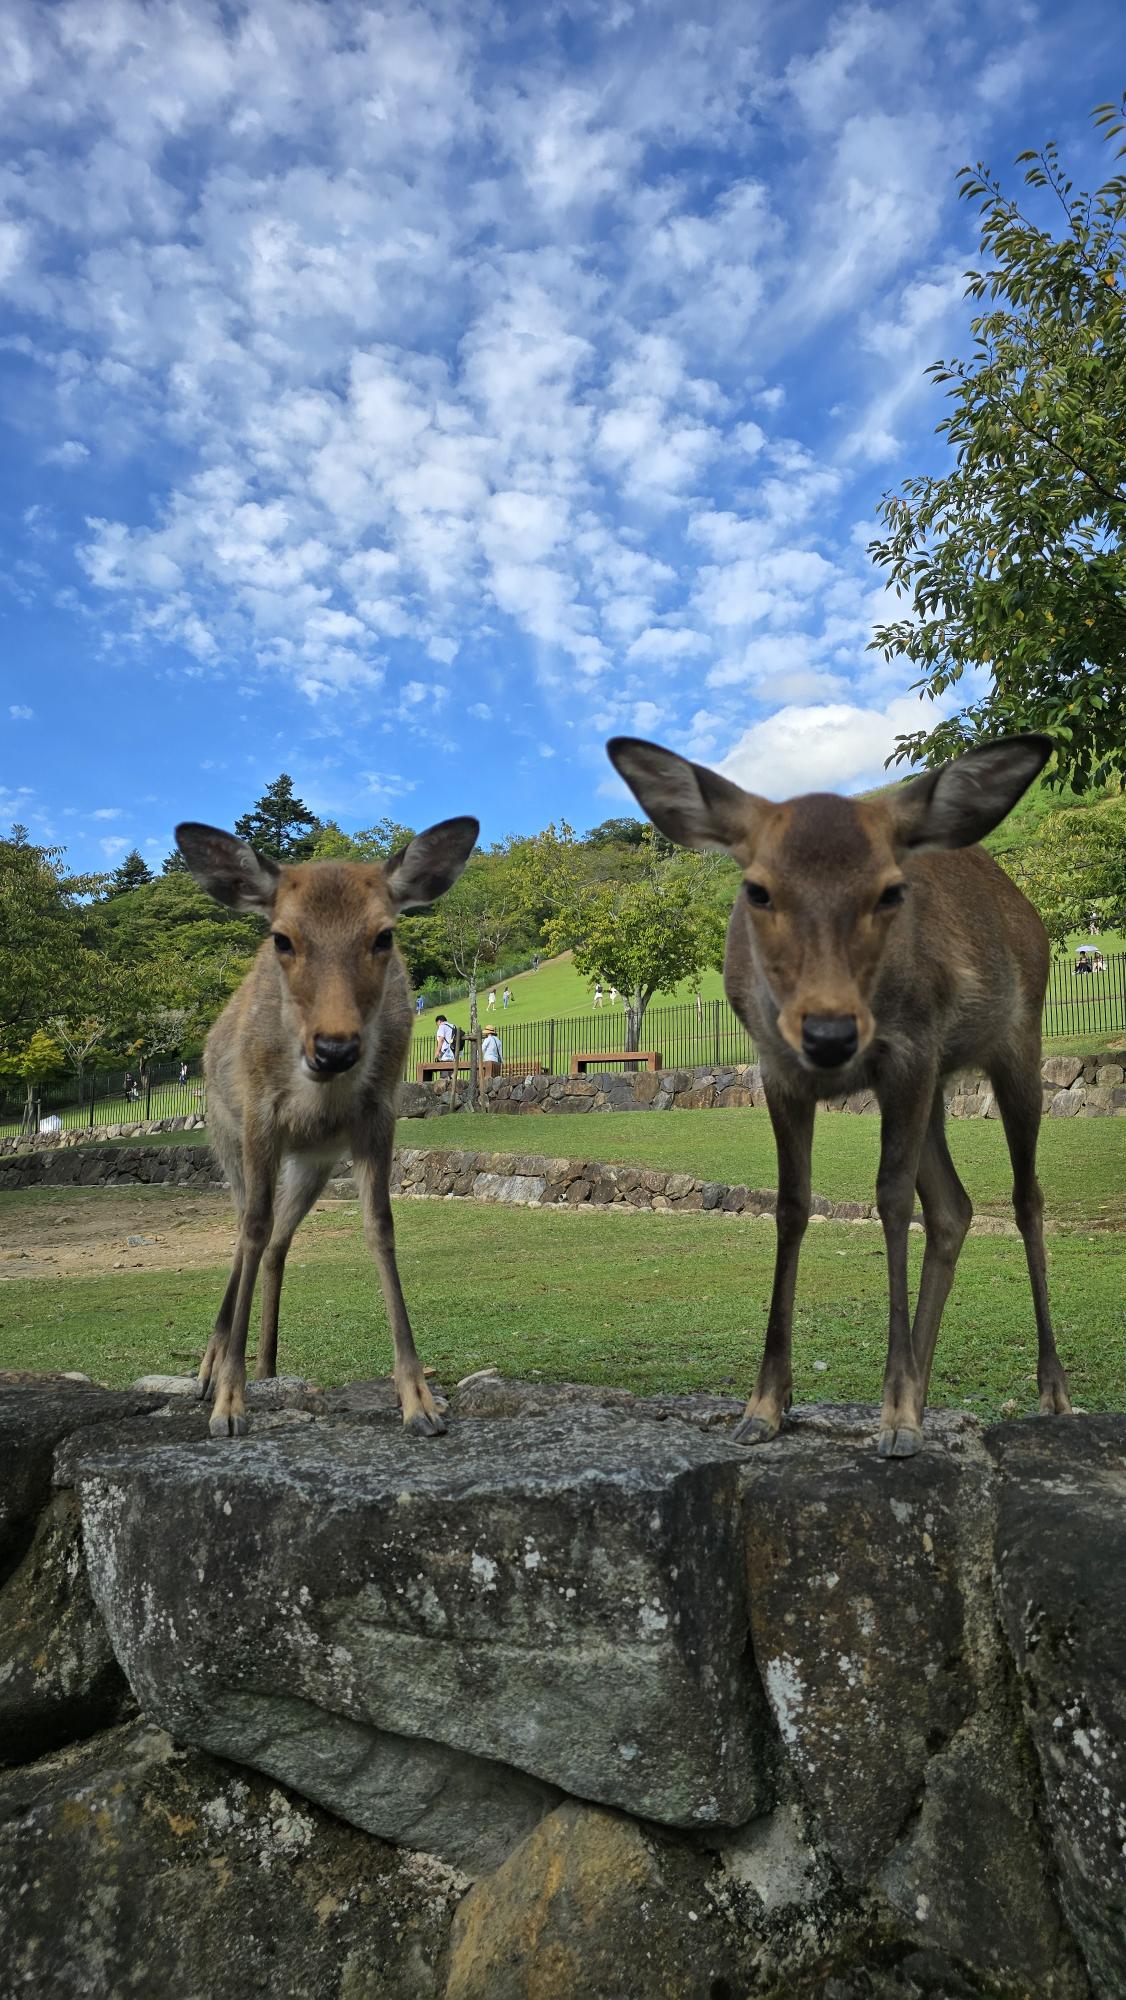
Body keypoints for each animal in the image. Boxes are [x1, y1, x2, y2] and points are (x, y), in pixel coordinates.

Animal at [176, 812, 480, 1440]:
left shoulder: (376, 1118)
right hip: (224, 1137)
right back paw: (213, 1367)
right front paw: (229, 1406)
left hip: (313, 1163)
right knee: (247, 1230)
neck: (319, 1096)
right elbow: (250, 1230)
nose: (335, 1048)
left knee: (277, 1241)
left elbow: (380, 1228)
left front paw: (420, 1400)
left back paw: (266, 1366)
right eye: (282, 939)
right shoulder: (259, 1120)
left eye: (384, 935)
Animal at [608, 732, 1072, 1456]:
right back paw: (925, 1386)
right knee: (954, 1207)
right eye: (758, 890)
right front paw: (765, 1404)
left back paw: (1049, 1391)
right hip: (934, 1088)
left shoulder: (909, 1051)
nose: (829, 1033)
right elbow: (792, 1207)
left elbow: (891, 1201)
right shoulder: (779, 1071)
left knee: (1026, 1200)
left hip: (1016, 1044)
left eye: (890, 892)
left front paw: (896, 1415)